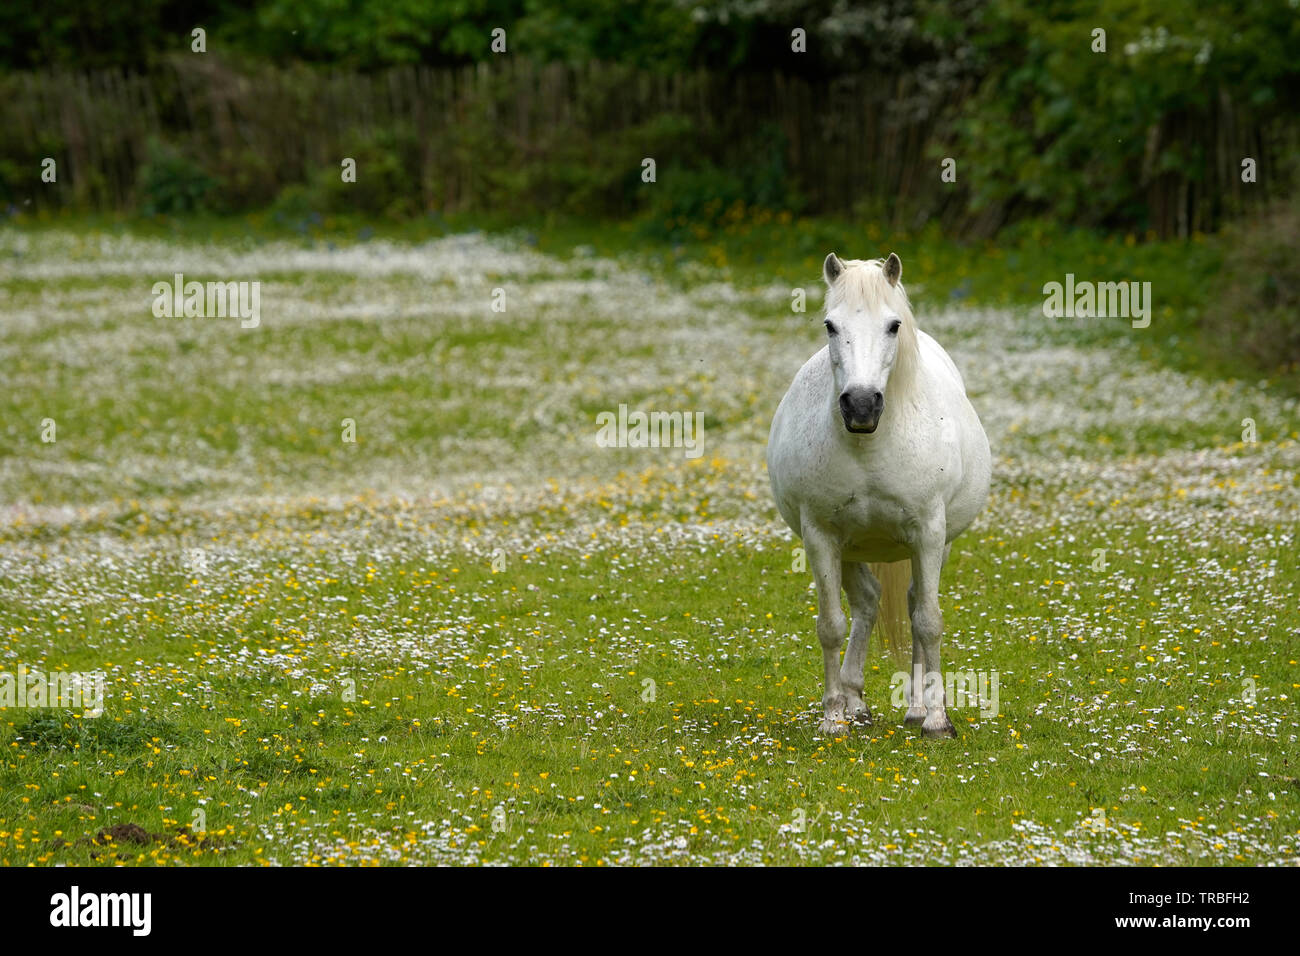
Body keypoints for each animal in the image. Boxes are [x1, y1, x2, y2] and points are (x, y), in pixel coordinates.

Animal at [766, 252, 991, 738]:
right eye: (830, 325)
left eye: (893, 325)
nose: (862, 405)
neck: (870, 445)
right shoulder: (821, 536)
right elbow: (831, 625)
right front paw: (833, 717)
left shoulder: (929, 533)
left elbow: (928, 621)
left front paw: (938, 720)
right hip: (851, 548)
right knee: (867, 603)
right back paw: (855, 701)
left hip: (934, 545)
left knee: (912, 605)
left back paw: (917, 709)